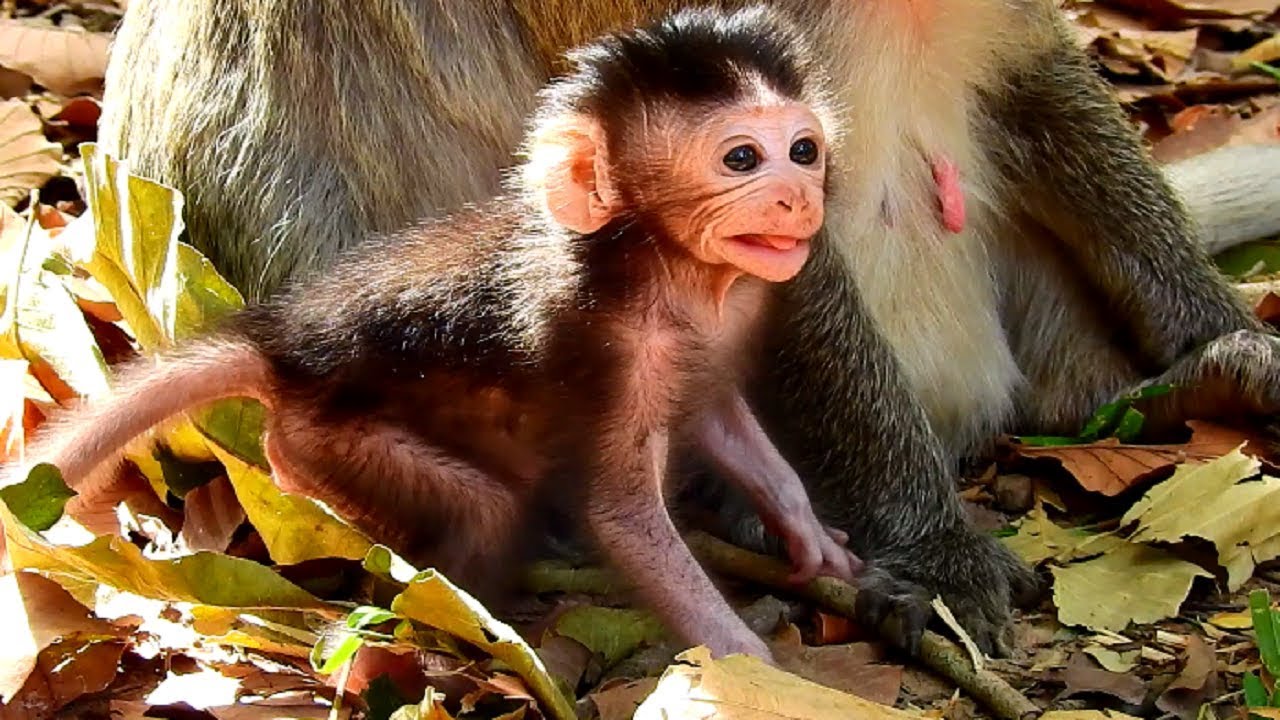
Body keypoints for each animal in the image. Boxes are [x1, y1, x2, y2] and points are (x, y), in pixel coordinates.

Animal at [18, 7, 862, 661]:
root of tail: (286, 347)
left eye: (803, 150)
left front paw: (808, 534)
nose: (798, 197)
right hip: (336, 438)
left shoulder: (720, 324)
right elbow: (621, 517)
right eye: (742, 158)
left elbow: (720, 420)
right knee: (479, 512)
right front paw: (748, 663)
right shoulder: (615, 348)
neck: (665, 264)